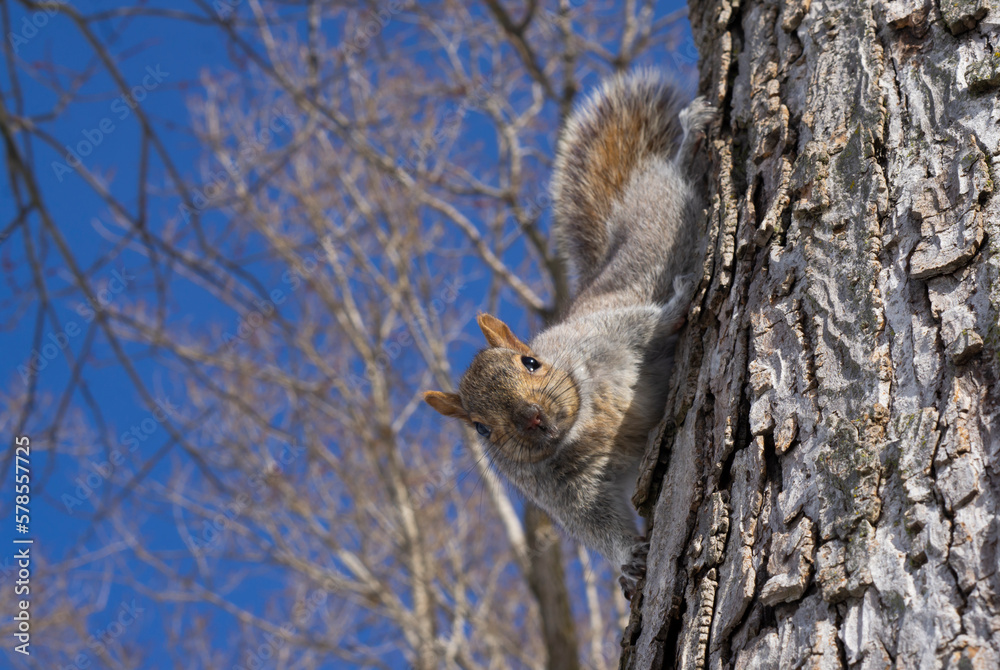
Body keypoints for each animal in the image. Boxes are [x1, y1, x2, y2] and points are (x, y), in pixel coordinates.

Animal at [424, 69, 713, 598]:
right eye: (480, 428)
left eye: (531, 362)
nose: (532, 418)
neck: (586, 421)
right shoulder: (564, 492)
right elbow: (594, 523)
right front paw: (629, 560)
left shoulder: (610, 334)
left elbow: (653, 322)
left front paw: (680, 304)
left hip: (659, 208)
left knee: (668, 173)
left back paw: (692, 134)